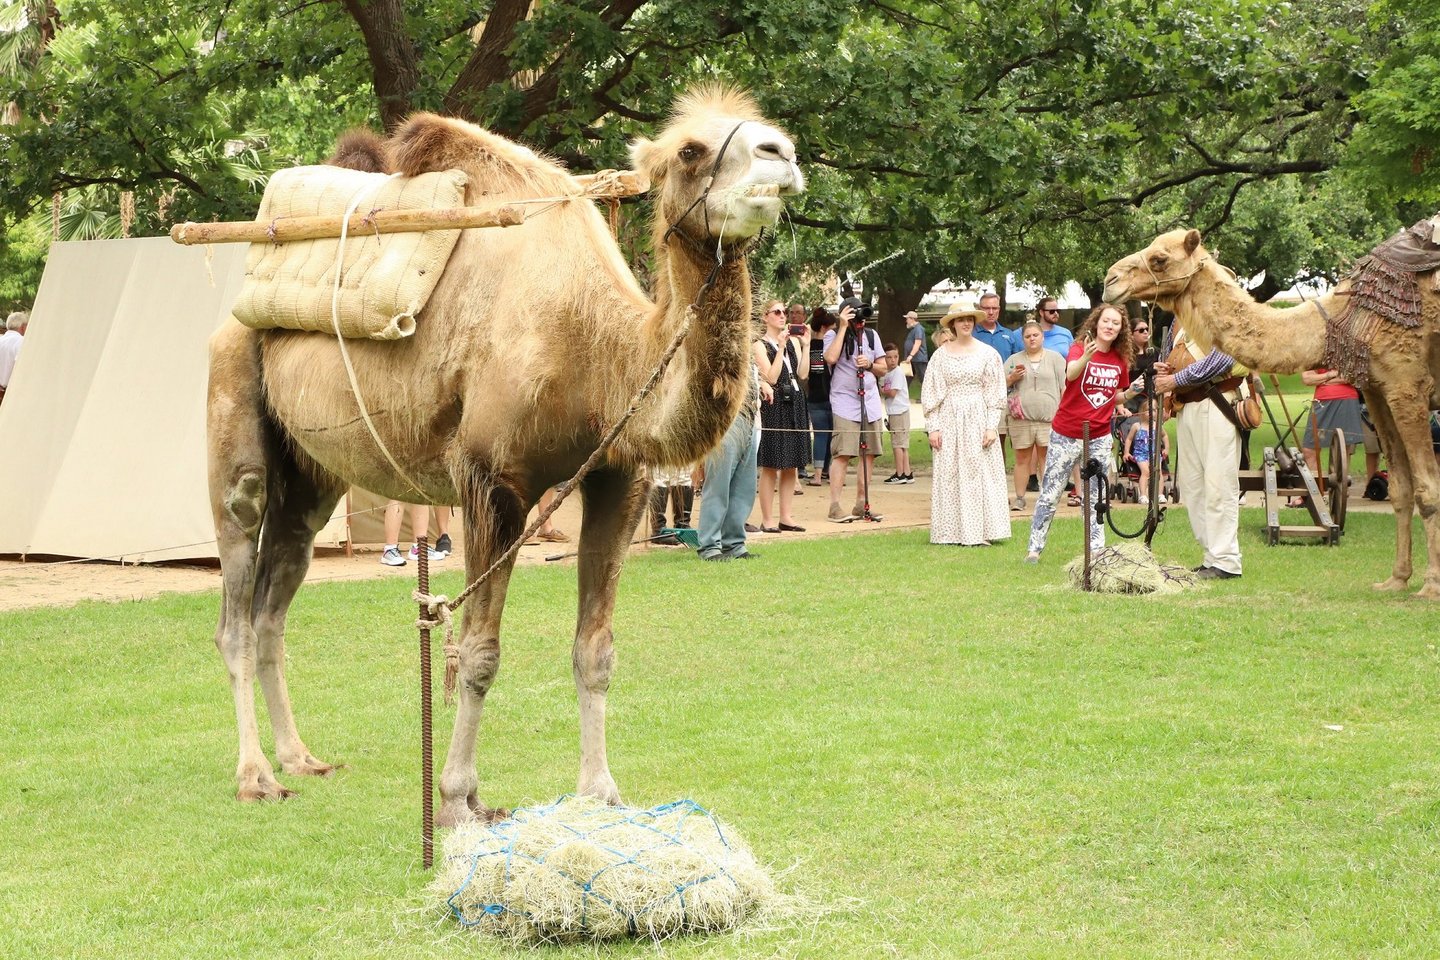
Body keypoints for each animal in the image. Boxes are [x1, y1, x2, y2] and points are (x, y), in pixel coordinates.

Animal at [207, 88, 804, 823]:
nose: (782, 154)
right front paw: (457, 798)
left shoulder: (619, 477)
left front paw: (600, 790)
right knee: (236, 605)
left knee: (273, 603)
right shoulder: (491, 481)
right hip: (235, 415)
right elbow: (480, 652)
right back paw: (256, 775)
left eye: (770, 130)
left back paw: (301, 758)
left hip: (313, 477)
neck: (601, 355)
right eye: (691, 150)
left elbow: (595, 650)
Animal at [1103, 228, 1440, 598]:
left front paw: (1430, 586)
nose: (1110, 280)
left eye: (1160, 258)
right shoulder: (1379, 389)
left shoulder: (1407, 384)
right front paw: (1396, 580)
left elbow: (1428, 490)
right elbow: (1401, 489)